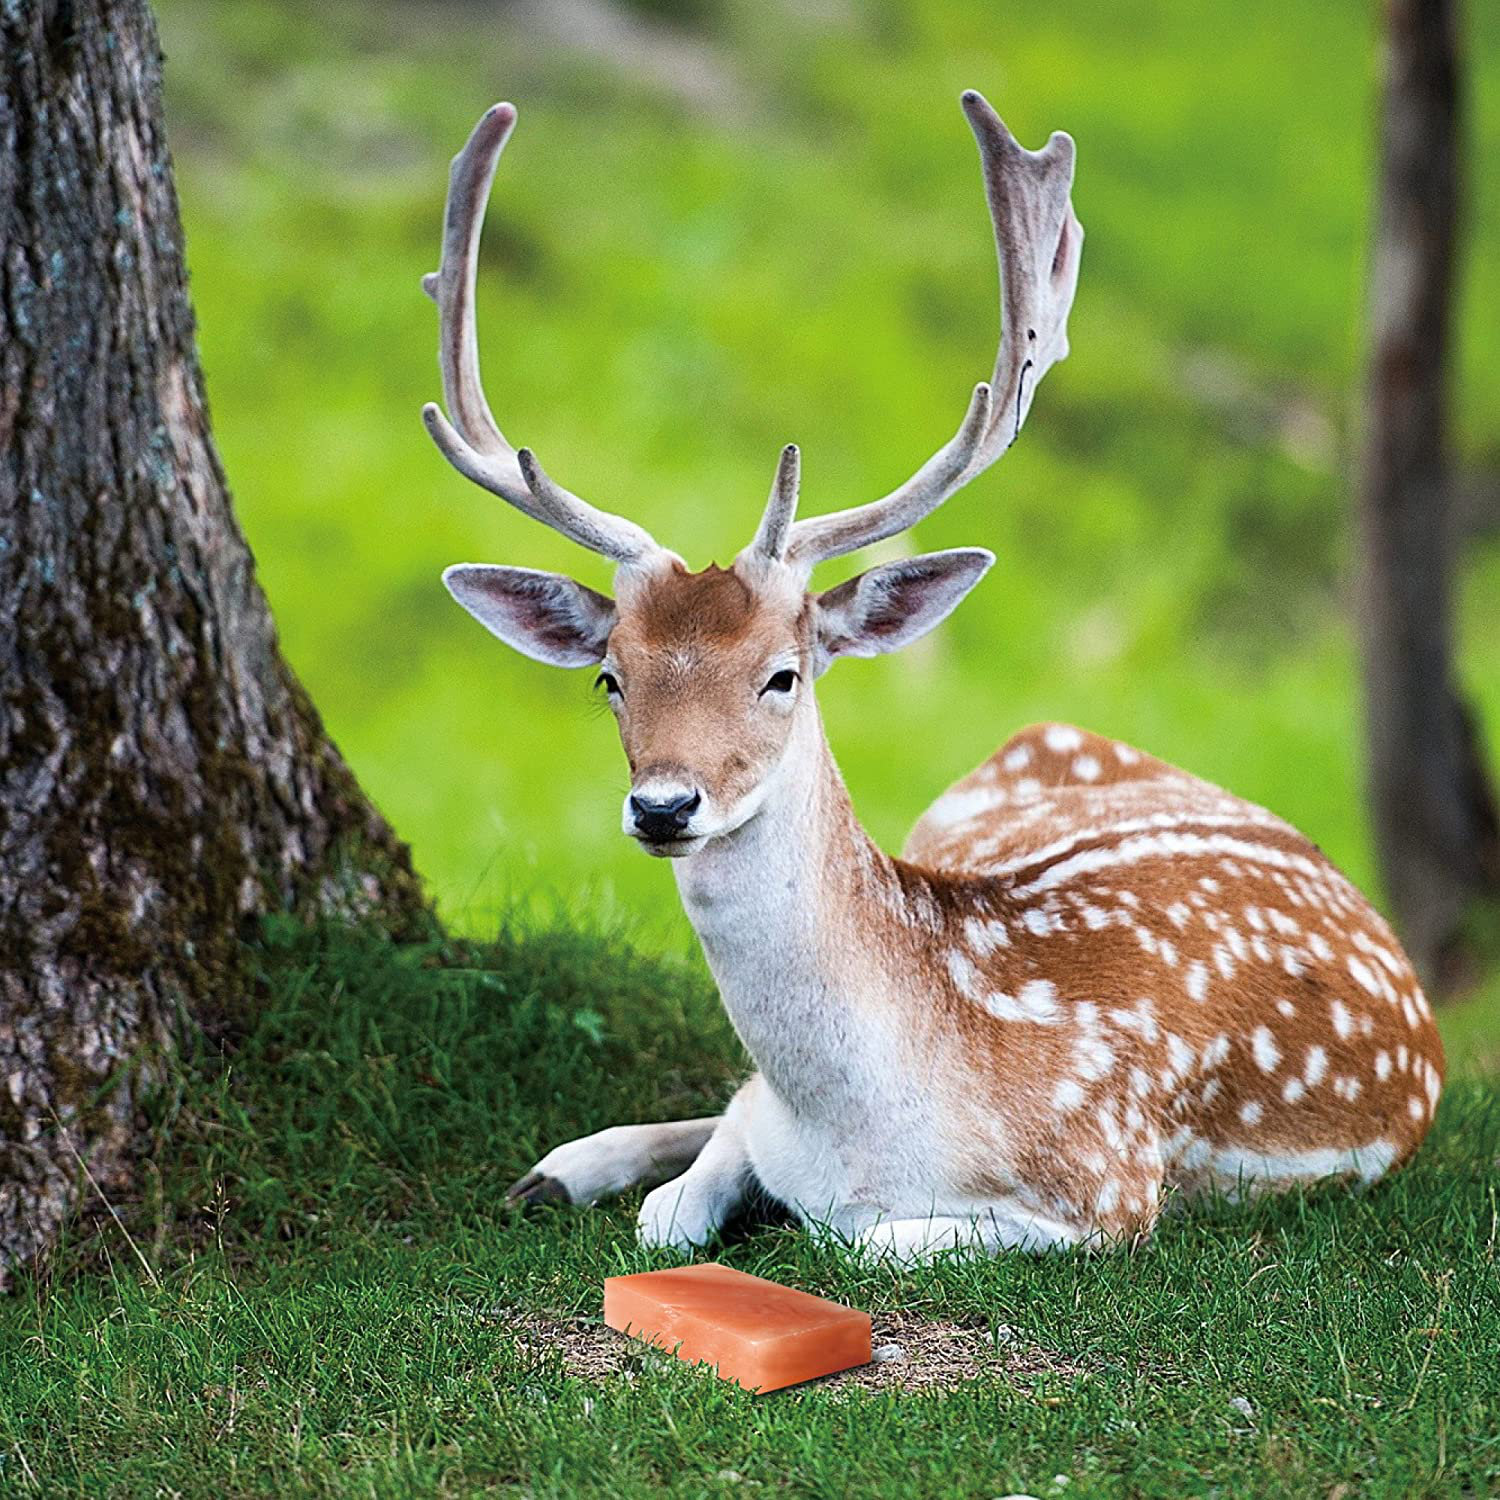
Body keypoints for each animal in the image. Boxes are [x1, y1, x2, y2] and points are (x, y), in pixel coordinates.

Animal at [422, 94, 1445, 1263]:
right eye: (611, 678)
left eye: (784, 676)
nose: (665, 806)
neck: (865, 1123)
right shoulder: (767, 1119)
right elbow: (676, 1207)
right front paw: (603, 1174)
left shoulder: (1109, 1191)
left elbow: (852, 1239)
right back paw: (559, 1167)